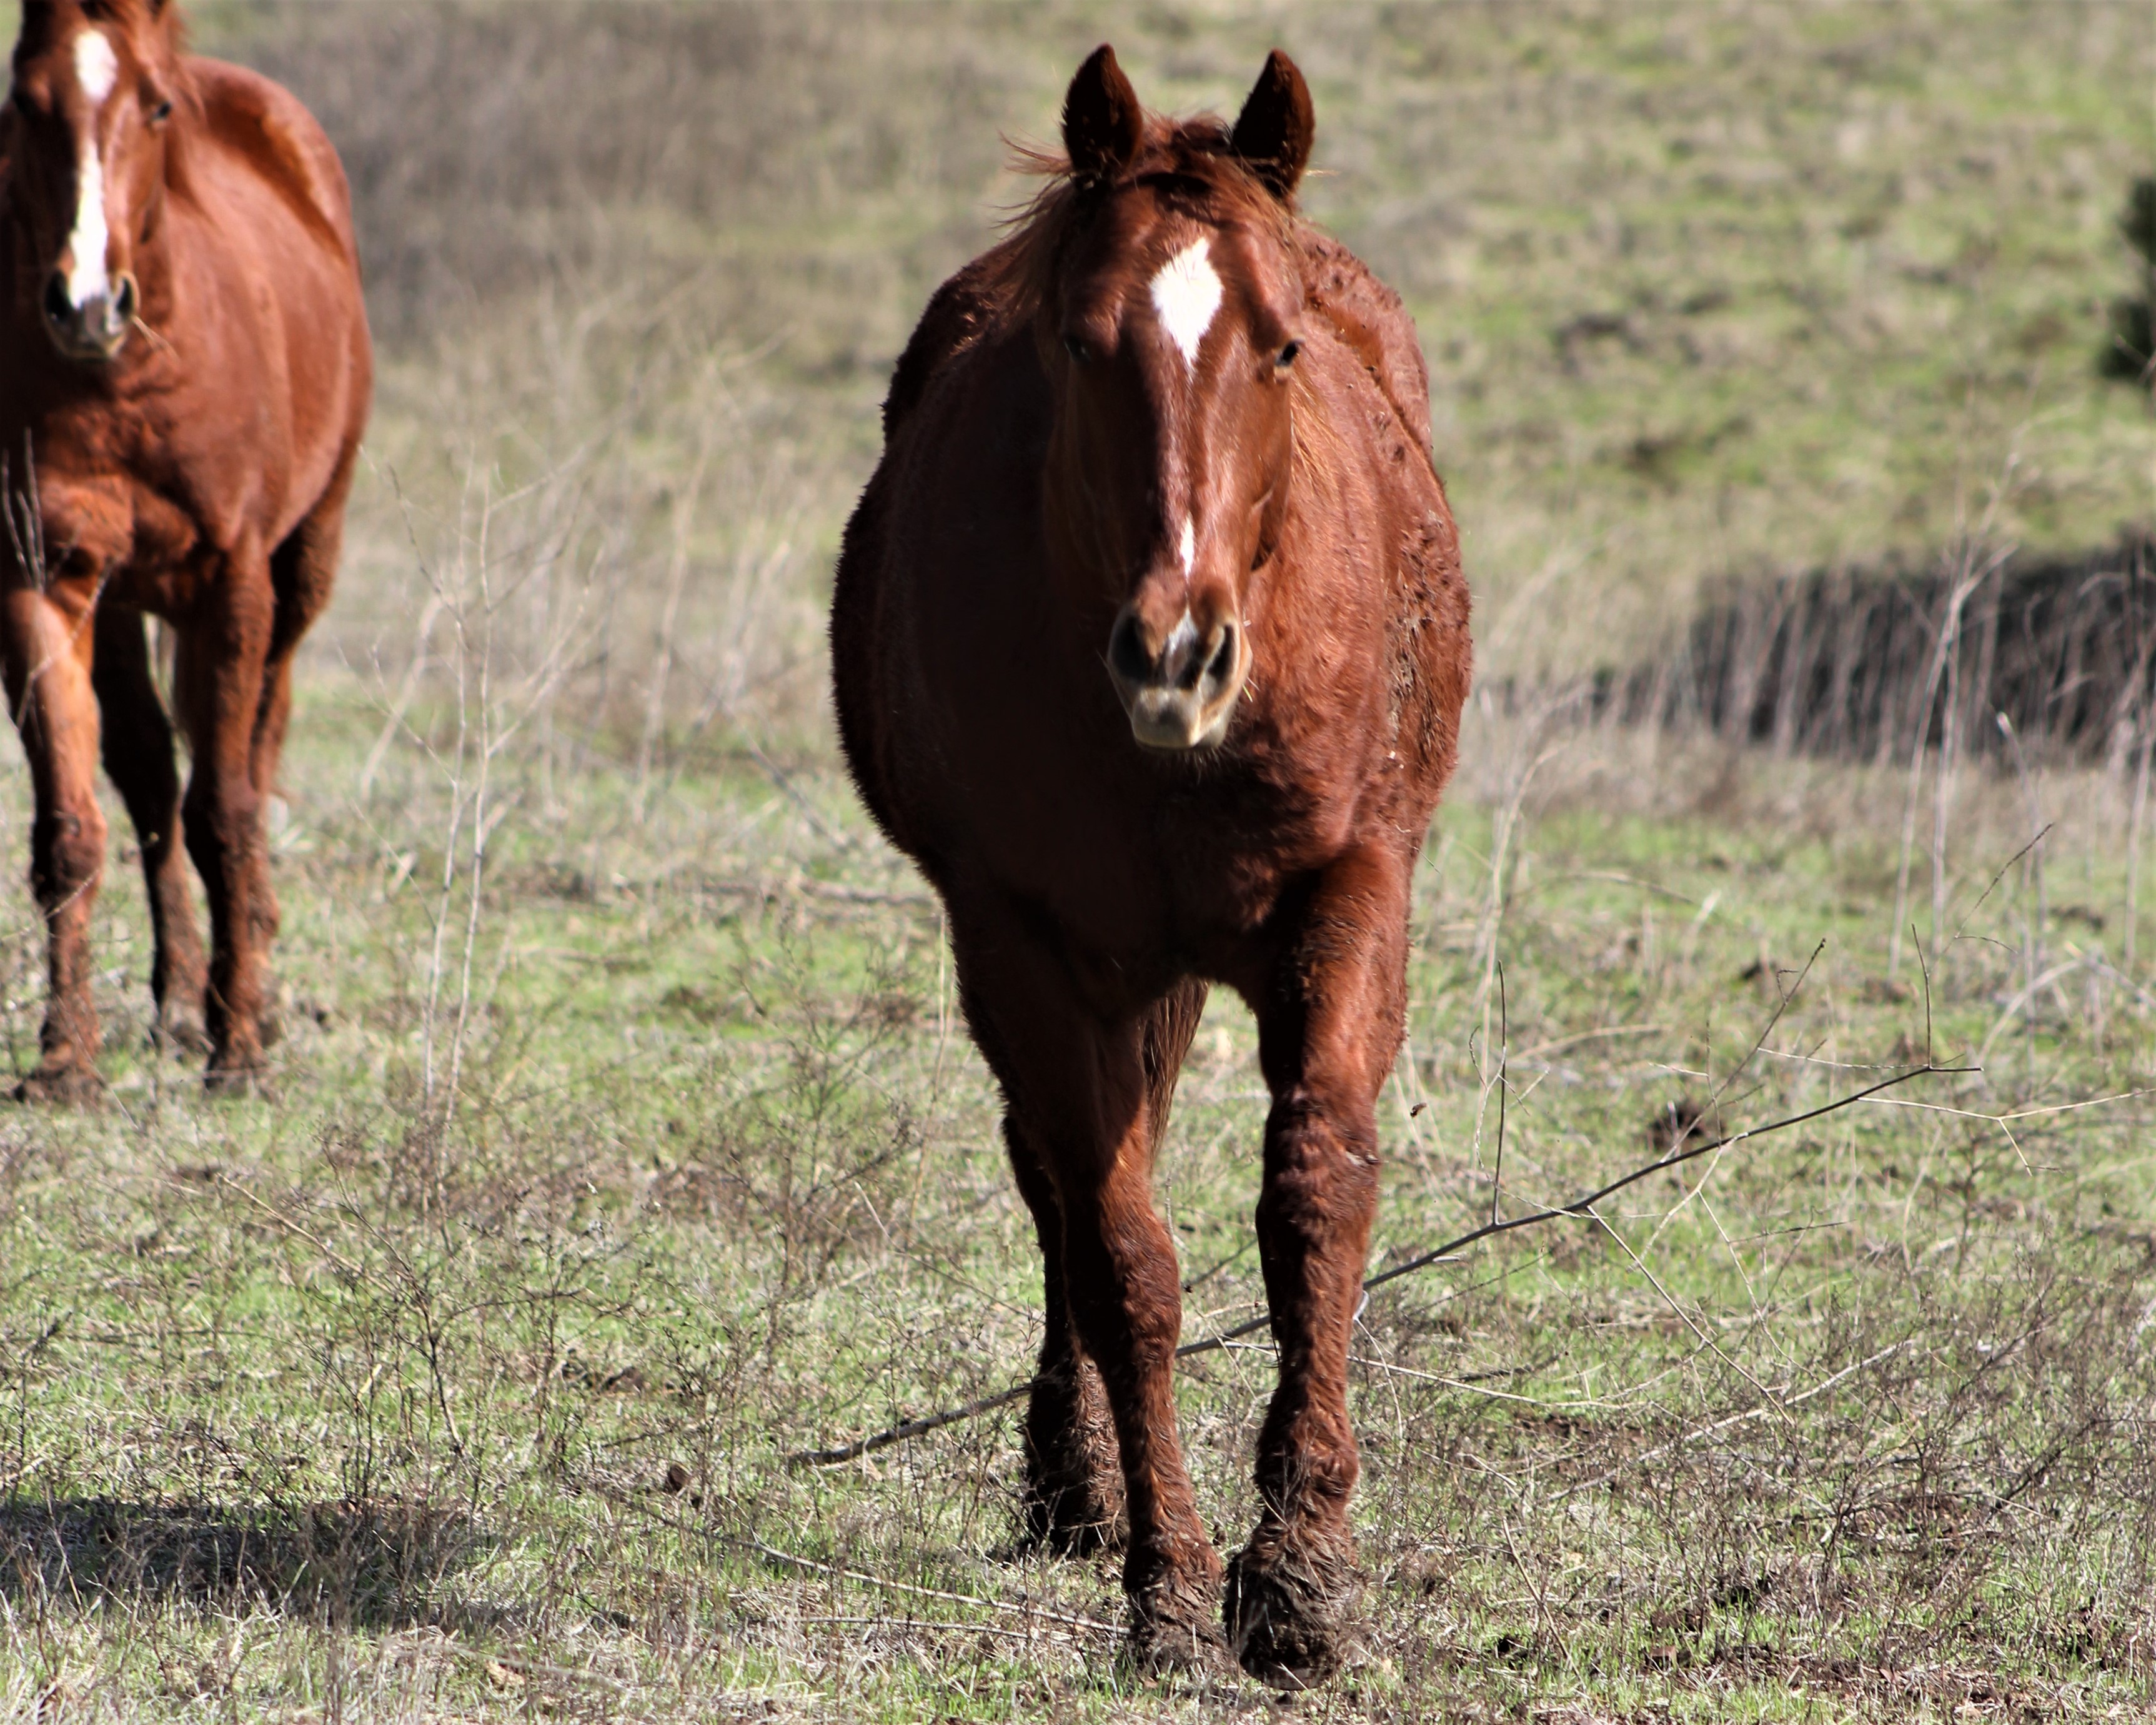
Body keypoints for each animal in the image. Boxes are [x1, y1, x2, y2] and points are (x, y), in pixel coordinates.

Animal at [0, 0, 370, 1097]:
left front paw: (240, 1046)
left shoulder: (231, 586)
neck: (122, 387)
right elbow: (74, 824)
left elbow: (227, 807)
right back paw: (173, 1006)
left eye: (156, 106)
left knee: (252, 749)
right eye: (25, 100)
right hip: (123, 603)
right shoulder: (40, 584)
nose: (86, 305)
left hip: (303, 569)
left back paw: (252, 992)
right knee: (150, 776)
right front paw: (64, 1061)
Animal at [831, 45, 1470, 1686]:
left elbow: (1316, 1197)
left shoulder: (1354, 893)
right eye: (1079, 341)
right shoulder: (1025, 941)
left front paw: (1302, 1579)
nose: (1177, 652)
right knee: (1059, 1185)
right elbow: (1121, 1250)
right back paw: (1079, 1484)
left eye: (1284, 344)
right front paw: (1170, 1581)